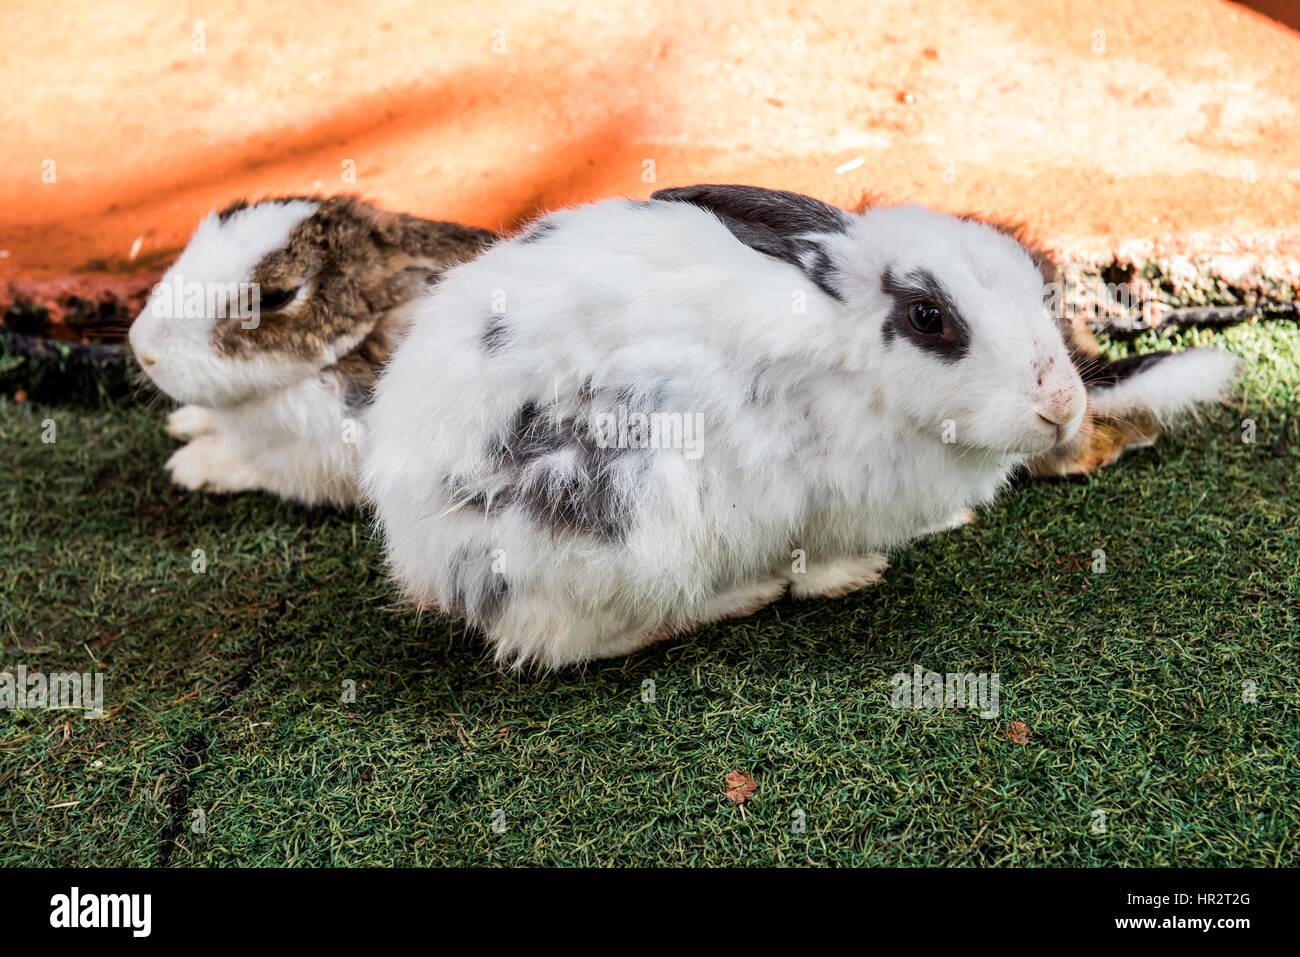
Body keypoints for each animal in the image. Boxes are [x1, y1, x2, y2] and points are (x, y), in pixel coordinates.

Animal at [361, 185, 1240, 670]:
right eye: (929, 318)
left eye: (1033, 281)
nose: (1061, 404)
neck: (848, 362)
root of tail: (422, 551)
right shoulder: (812, 503)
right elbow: (820, 563)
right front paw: (855, 576)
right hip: (622, 515)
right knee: (564, 642)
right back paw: (736, 598)